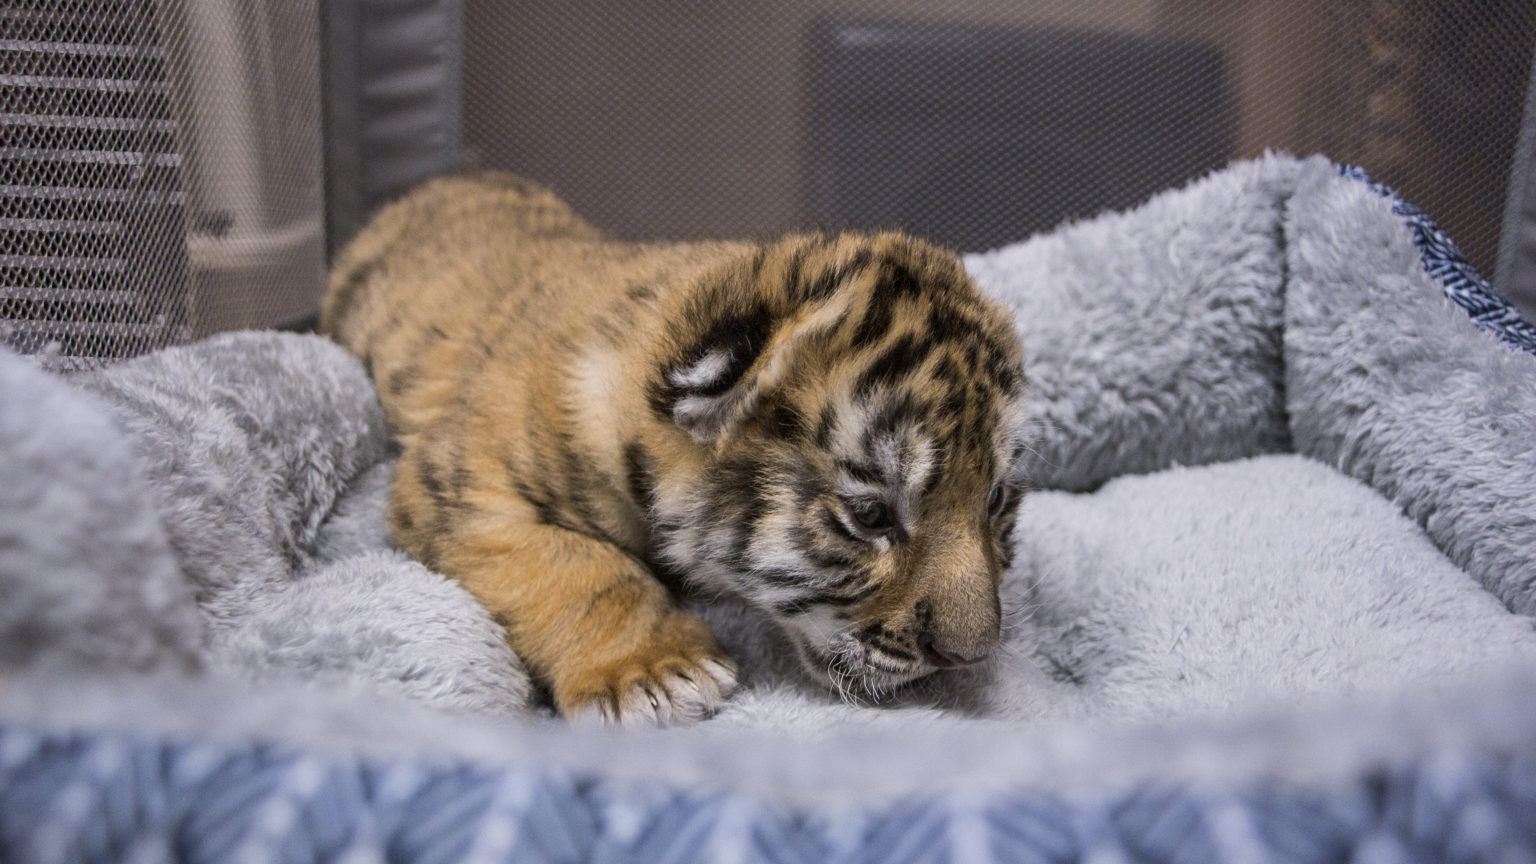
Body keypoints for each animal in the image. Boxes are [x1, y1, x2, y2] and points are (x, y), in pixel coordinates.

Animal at [321, 173, 1029, 725]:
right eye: (871, 515)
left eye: (995, 499)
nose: (972, 655)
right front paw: (654, 674)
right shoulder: (457, 486)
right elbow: (577, 565)